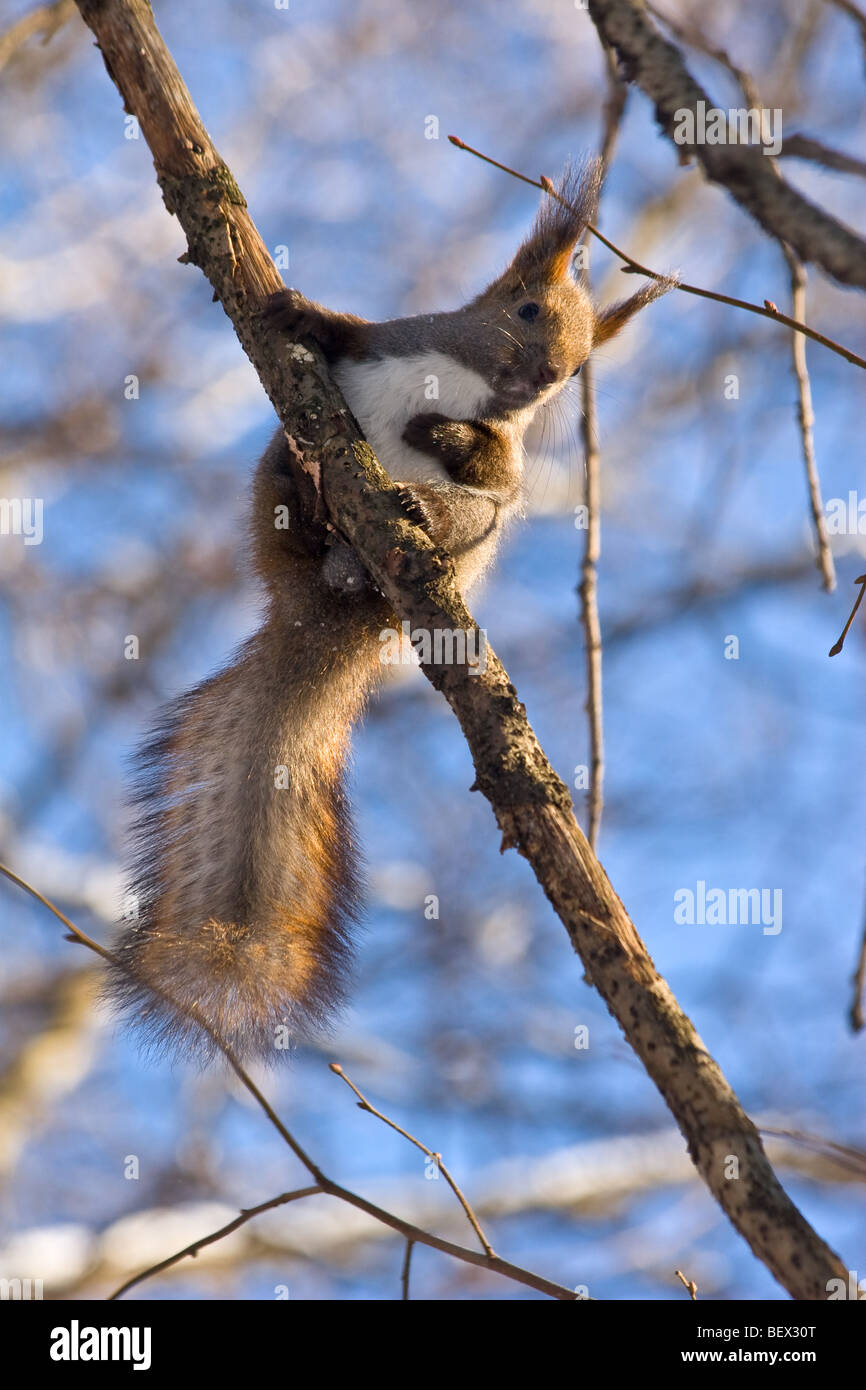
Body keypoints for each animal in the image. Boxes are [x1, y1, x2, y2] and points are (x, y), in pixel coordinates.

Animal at [107, 164, 674, 1061]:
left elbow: (495, 468)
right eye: (525, 310)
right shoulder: (387, 339)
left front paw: (447, 436)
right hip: (271, 485)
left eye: (584, 368)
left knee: (456, 517)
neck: (464, 383)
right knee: (290, 493)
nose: (545, 378)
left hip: (462, 540)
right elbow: (346, 331)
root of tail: (322, 609)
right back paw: (307, 494)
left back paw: (408, 510)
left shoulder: (509, 459)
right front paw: (299, 312)